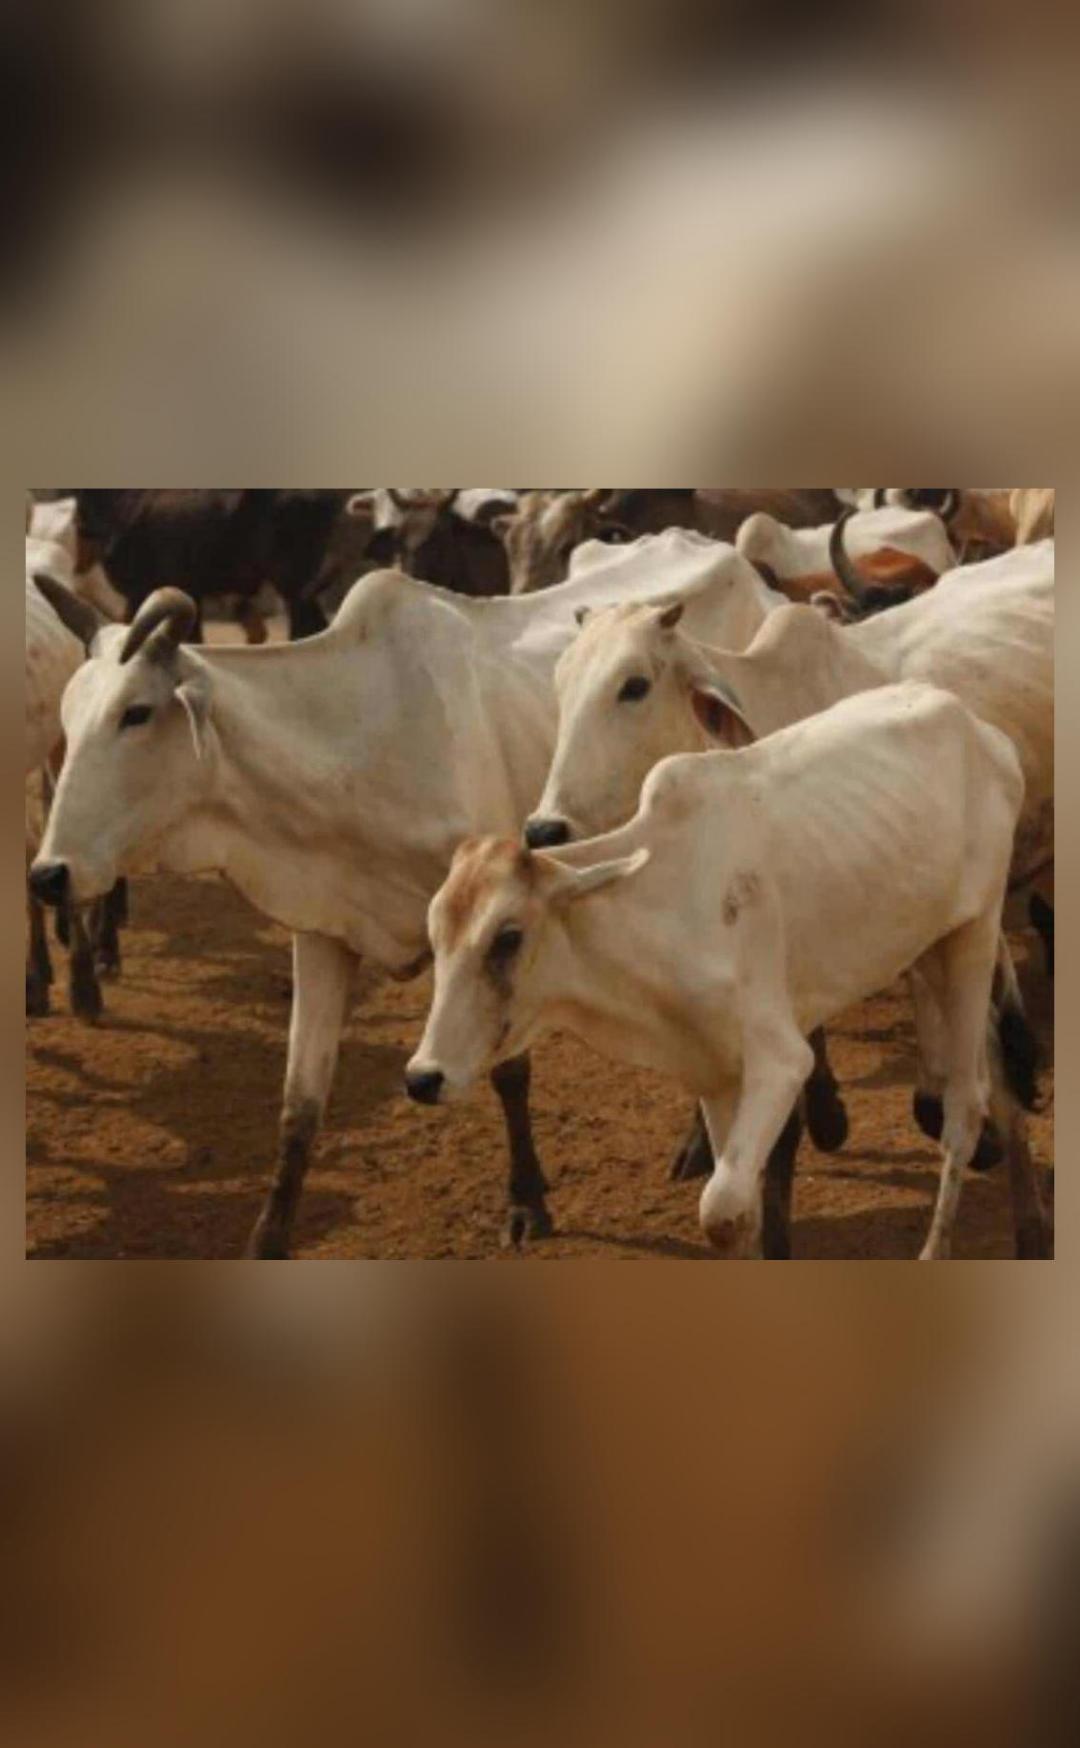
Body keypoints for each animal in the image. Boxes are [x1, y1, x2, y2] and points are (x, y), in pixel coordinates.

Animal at [29, 528, 782, 1259]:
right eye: (67, 711)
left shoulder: (502, 920)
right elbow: (300, 1104)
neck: (357, 748)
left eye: (135, 713)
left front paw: (525, 1203)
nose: (47, 875)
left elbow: (509, 1072)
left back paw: (696, 1145)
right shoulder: (322, 931)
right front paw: (267, 1239)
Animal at [407, 684, 1047, 1260]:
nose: (422, 1078)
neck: (654, 905)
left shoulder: (780, 1061)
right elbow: (741, 1219)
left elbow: (720, 1209)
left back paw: (941, 1248)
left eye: (507, 937)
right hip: (927, 948)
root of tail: (981, 731)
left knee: (966, 1107)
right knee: (1002, 1084)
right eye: (435, 937)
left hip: (974, 933)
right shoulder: (713, 1073)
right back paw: (1030, 1233)